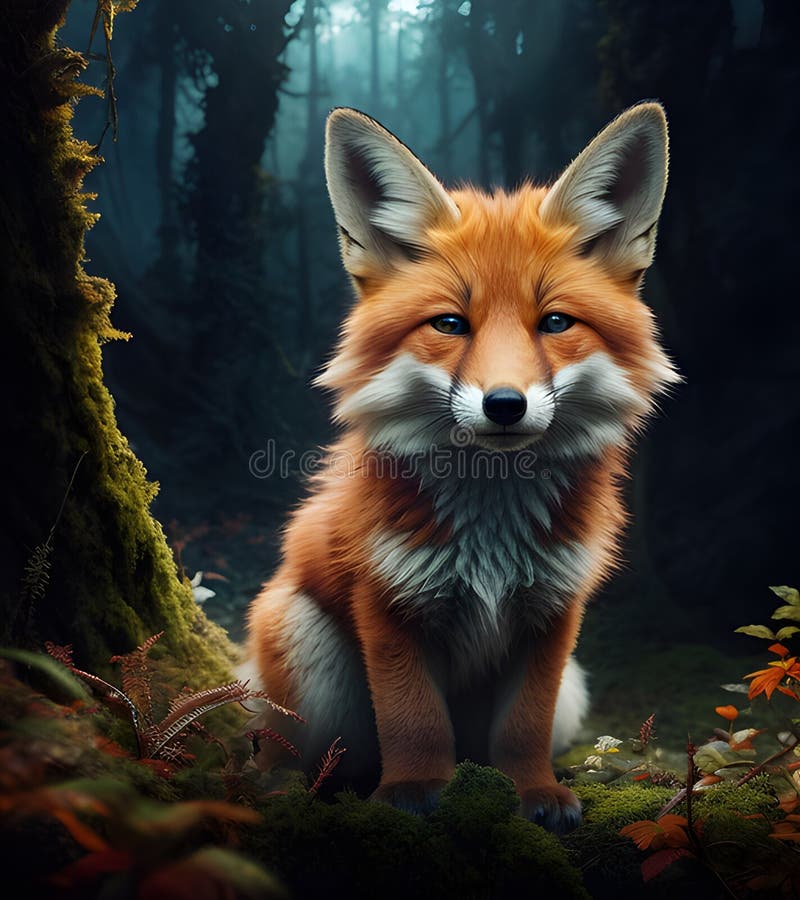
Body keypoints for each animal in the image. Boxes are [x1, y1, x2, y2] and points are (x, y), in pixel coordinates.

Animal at [246, 102, 679, 834]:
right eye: (450, 324)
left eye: (555, 322)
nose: (504, 404)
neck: (491, 535)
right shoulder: (386, 599)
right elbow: (415, 721)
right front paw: (415, 791)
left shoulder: (554, 611)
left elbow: (522, 727)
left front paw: (534, 794)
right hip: (301, 644)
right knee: (302, 759)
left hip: (575, 687)